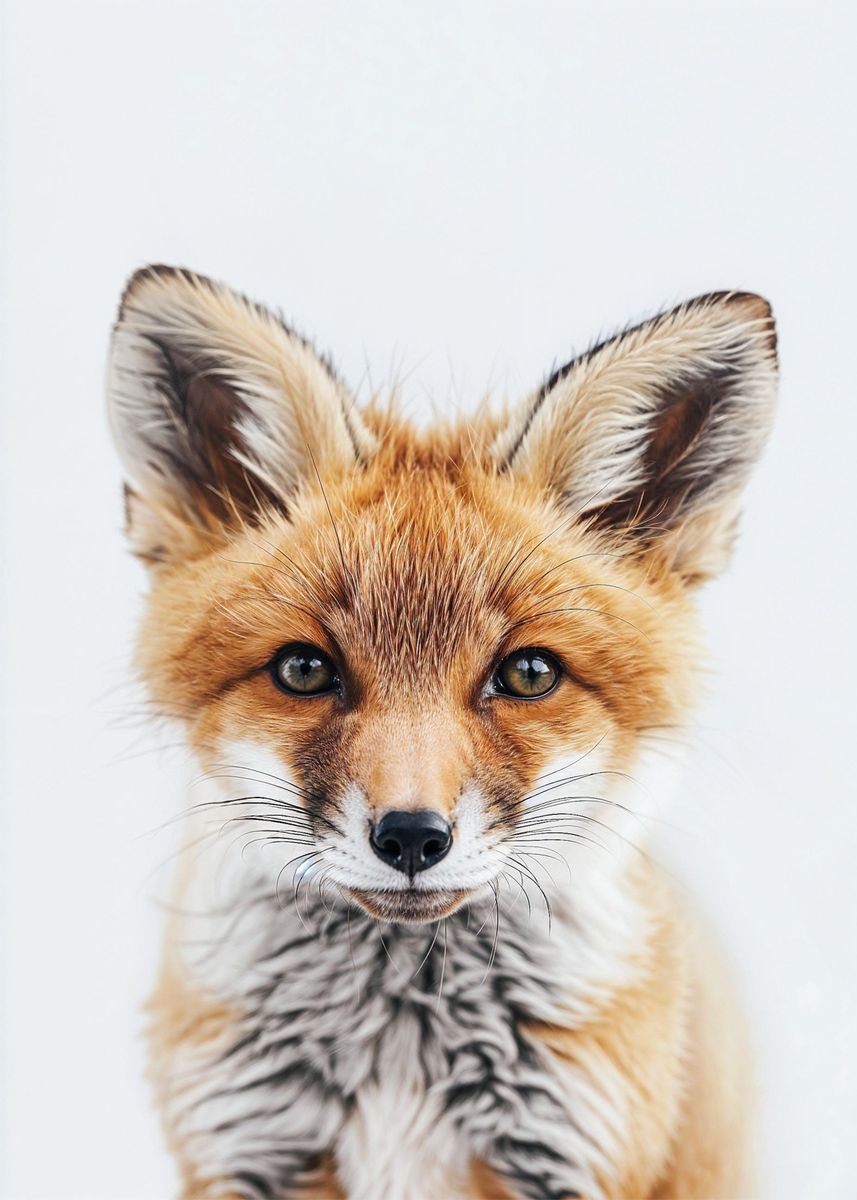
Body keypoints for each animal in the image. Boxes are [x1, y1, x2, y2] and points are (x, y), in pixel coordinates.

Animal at [107, 265, 777, 1200]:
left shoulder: (566, 1146)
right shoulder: (249, 1146)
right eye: (303, 670)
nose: (412, 838)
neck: (401, 1048)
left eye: (528, 674)